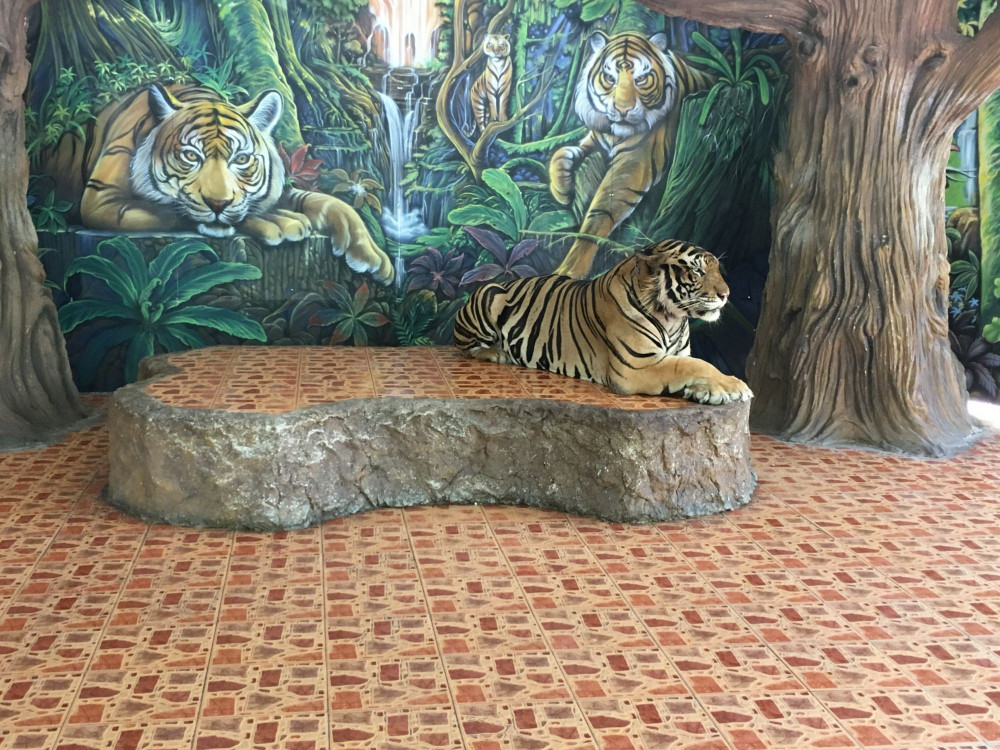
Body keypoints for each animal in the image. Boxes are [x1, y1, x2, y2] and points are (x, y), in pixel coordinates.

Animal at [38, 84, 393, 283]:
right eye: (190, 156)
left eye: (241, 159)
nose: (219, 204)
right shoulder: (101, 200)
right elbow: (175, 211)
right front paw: (280, 222)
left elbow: (332, 202)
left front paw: (375, 258)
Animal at [453, 239, 752, 404]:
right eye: (697, 270)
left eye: (717, 269)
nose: (726, 294)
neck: (674, 318)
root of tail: (505, 281)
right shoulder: (636, 367)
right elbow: (695, 365)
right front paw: (734, 387)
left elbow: (693, 365)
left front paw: (708, 392)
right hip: (488, 297)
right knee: (466, 348)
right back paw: (497, 353)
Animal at [549, 31, 715, 279]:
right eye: (610, 78)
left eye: (641, 79)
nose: (622, 110)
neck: (613, 134)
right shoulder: (595, 139)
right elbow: (560, 154)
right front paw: (562, 190)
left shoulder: (635, 161)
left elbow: (598, 213)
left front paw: (569, 270)